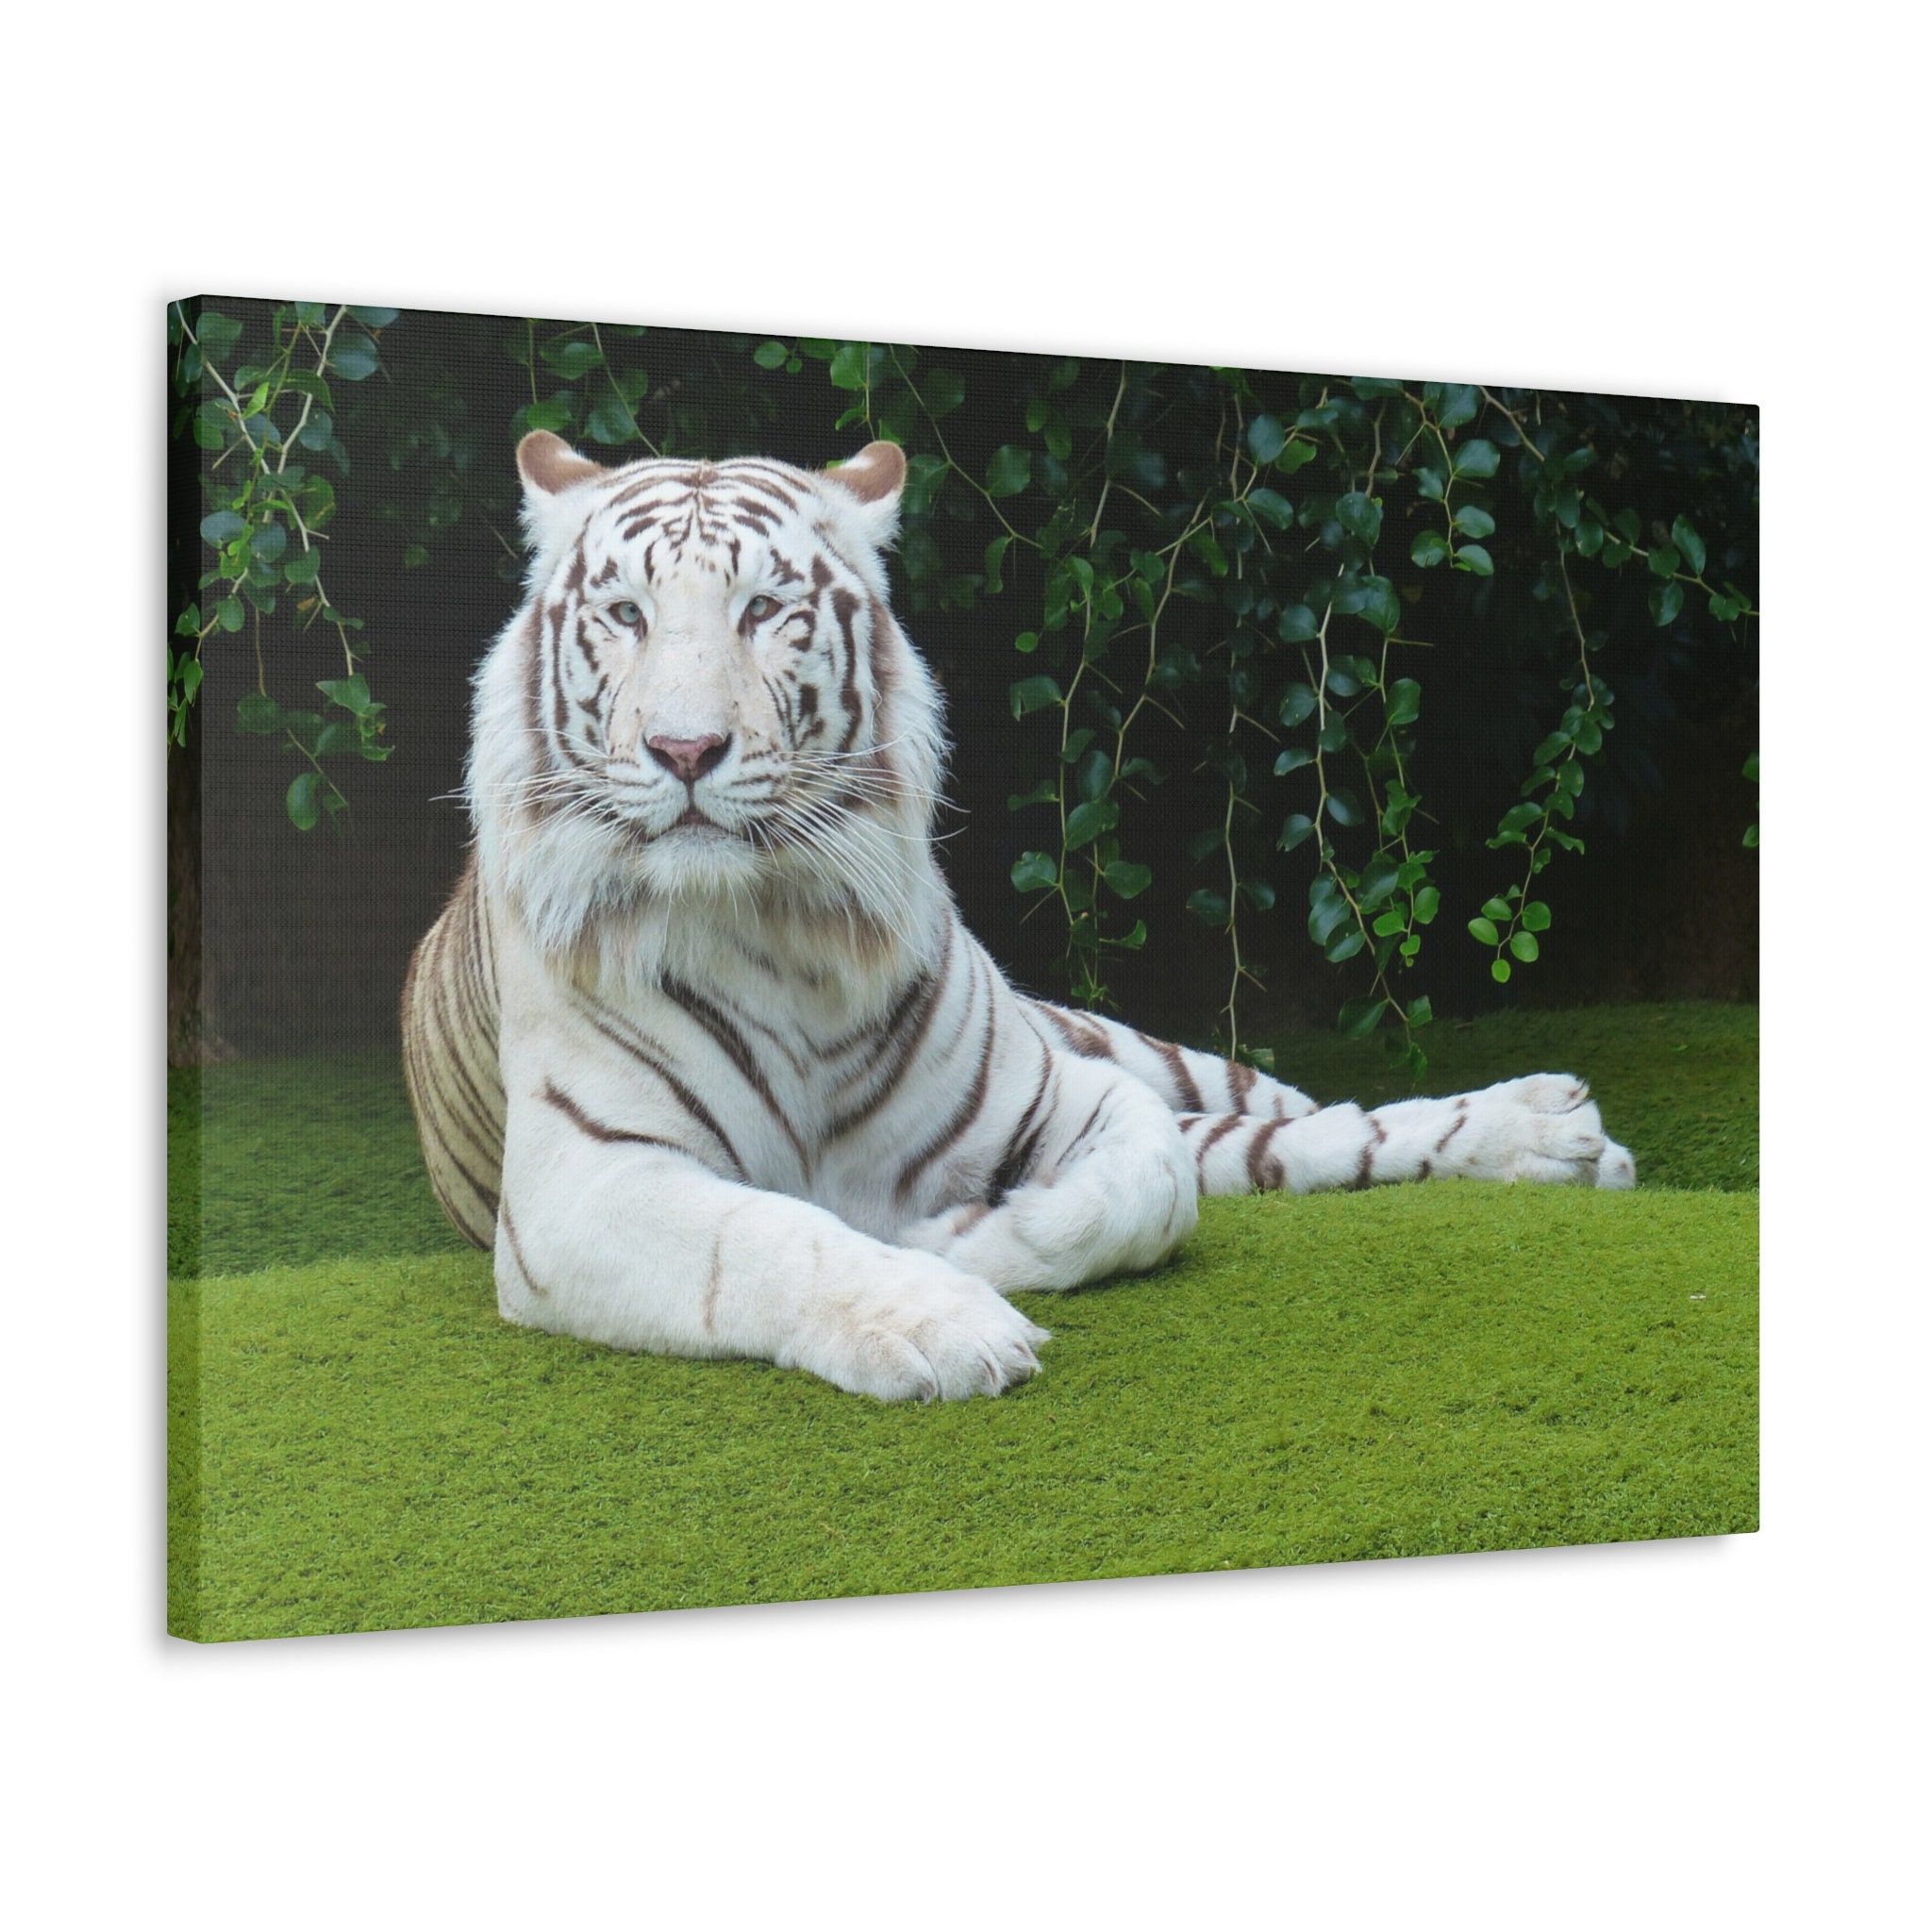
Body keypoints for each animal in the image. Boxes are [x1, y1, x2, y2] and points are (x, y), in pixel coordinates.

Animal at [401, 431, 1635, 1402]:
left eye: (764, 611)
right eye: (626, 614)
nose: (685, 749)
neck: (779, 929)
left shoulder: (1067, 1092)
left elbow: (1145, 1187)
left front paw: (956, 1241)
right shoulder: (580, 1185)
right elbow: (771, 1235)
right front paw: (939, 1318)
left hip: (1150, 1053)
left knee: (1308, 1123)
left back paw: (1553, 1129)